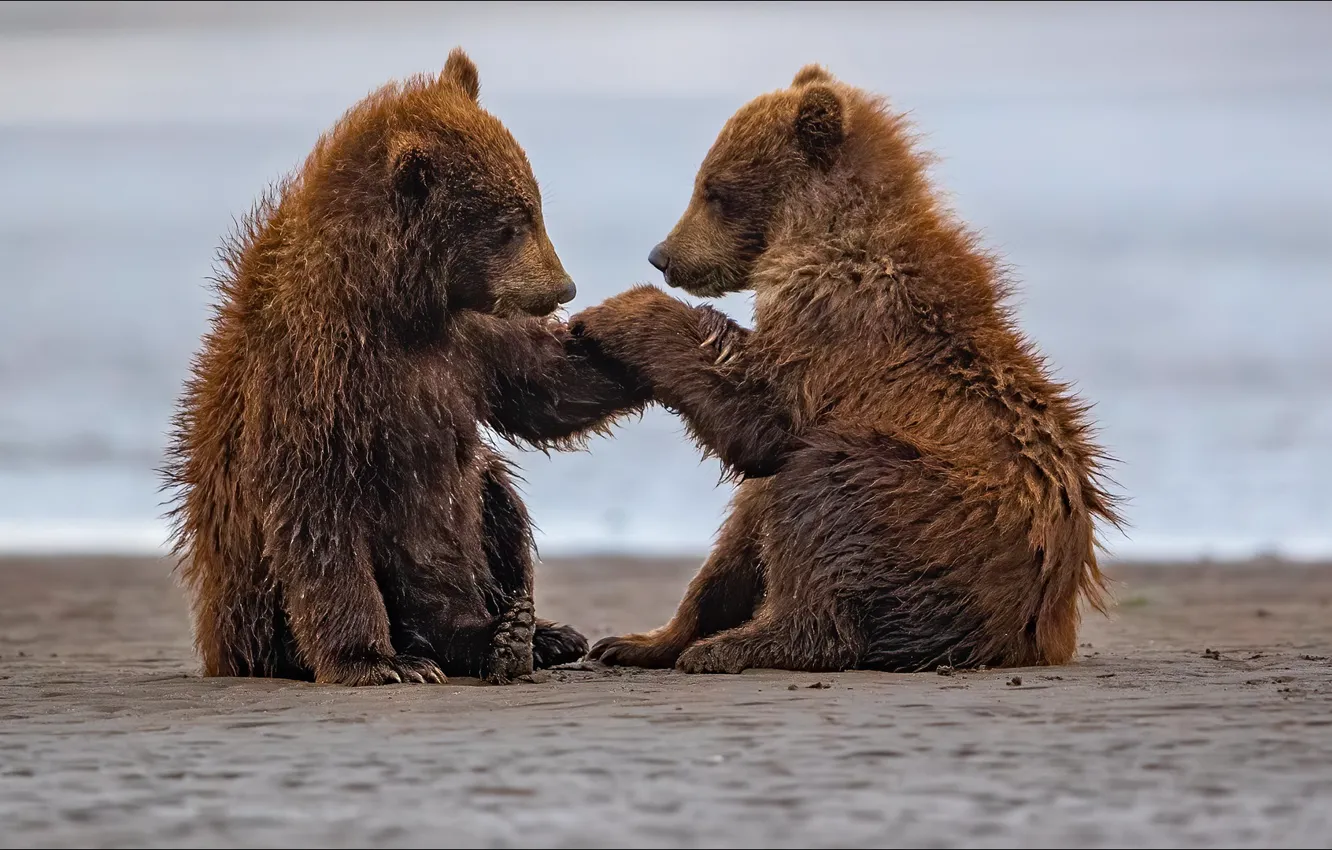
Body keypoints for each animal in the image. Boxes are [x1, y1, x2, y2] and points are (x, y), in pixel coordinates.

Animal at [162, 49, 652, 686]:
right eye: (509, 225)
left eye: (535, 207)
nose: (562, 287)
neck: (396, 305)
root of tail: (219, 646)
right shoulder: (316, 373)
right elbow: (317, 517)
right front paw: (378, 662)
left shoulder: (469, 341)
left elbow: (545, 388)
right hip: (252, 609)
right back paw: (473, 644)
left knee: (496, 502)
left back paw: (530, 633)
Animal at [573, 63, 1121, 674]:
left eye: (715, 190)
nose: (662, 256)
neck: (821, 232)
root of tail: (1032, 630)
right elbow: (739, 523)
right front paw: (639, 639)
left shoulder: (838, 326)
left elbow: (761, 417)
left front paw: (612, 313)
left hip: (923, 506)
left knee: (819, 492)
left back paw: (742, 644)